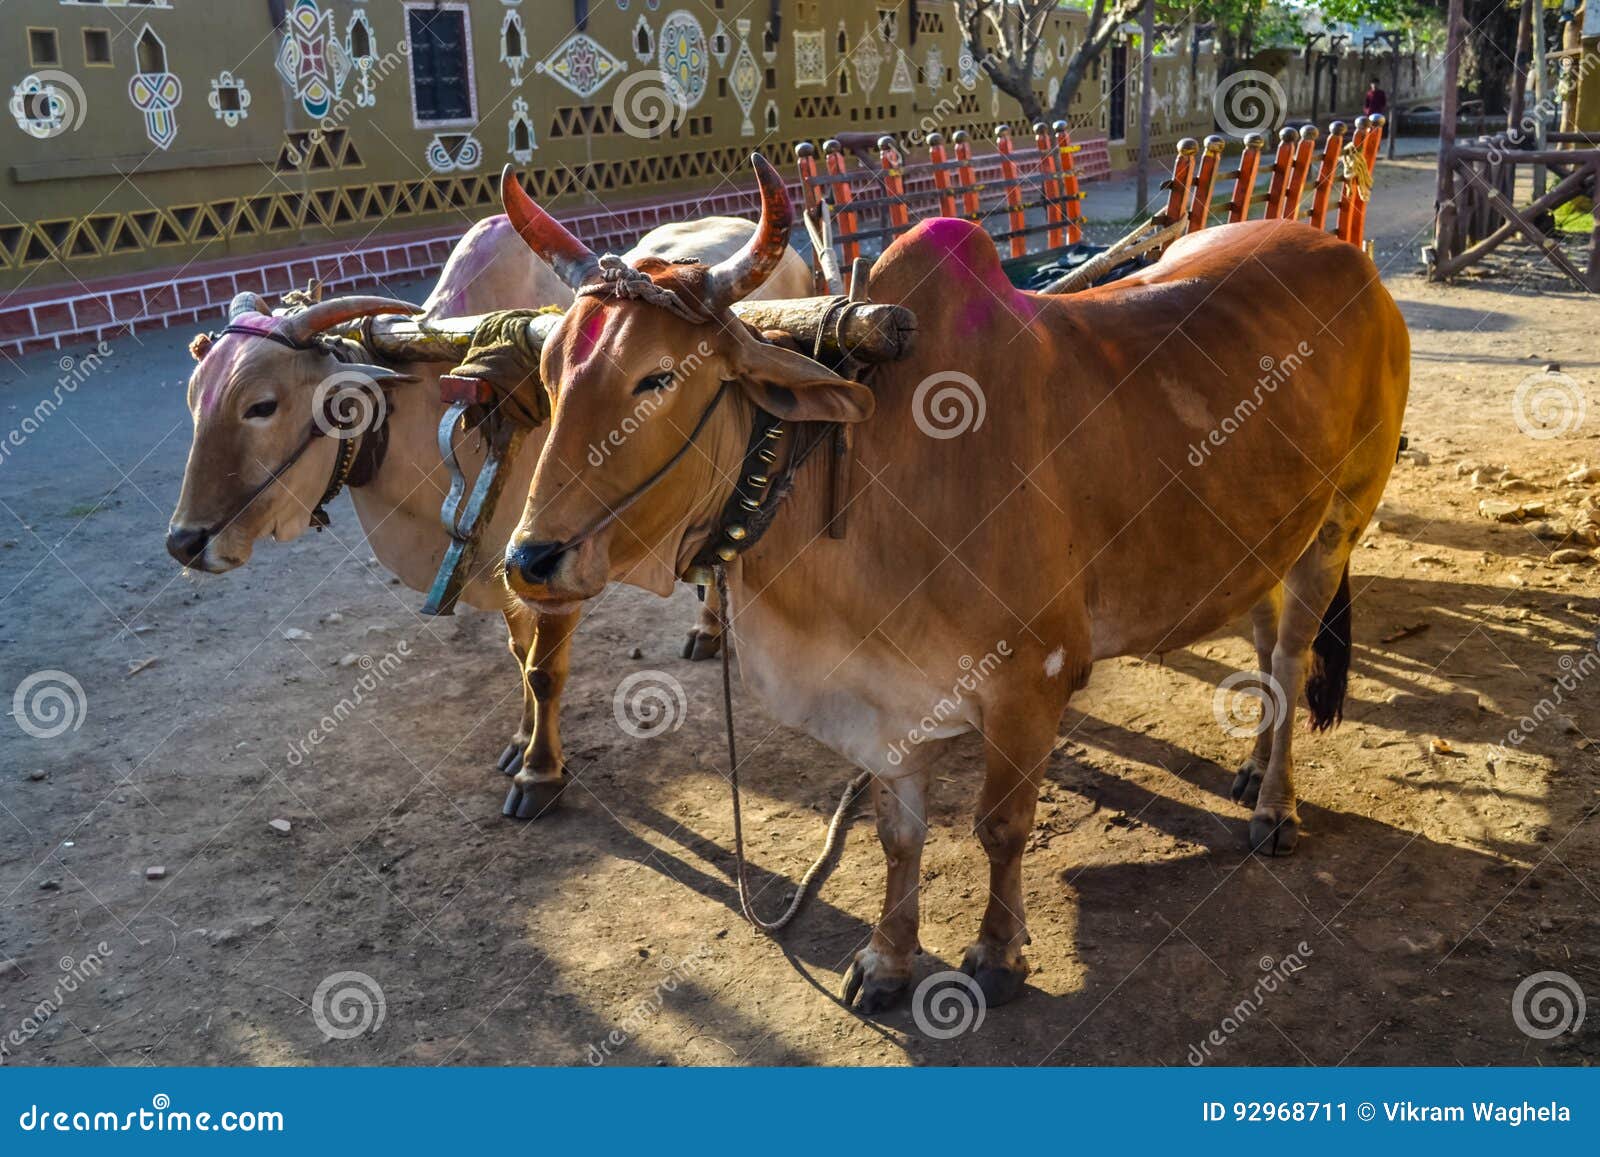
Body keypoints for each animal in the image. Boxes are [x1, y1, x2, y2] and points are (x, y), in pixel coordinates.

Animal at [165, 209, 812, 814]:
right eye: (194, 398)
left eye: (262, 406)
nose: (184, 543)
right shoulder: (502, 565)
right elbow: (518, 656)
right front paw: (520, 742)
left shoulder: (553, 566)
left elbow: (544, 671)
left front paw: (539, 774)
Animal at [494, 156, 1409, 1013]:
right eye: (551, 370)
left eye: (657, 376)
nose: (530, 560)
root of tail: (1349, 258)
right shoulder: (884, 697)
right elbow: (899, 836)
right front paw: (887, 960)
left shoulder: (1031, 680)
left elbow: (999, 826)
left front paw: (998, 955)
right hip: (1262, 536)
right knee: (1264, 638)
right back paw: (1253, 769)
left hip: (1337, 524)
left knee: (1291, 658)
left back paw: (1275, 807)